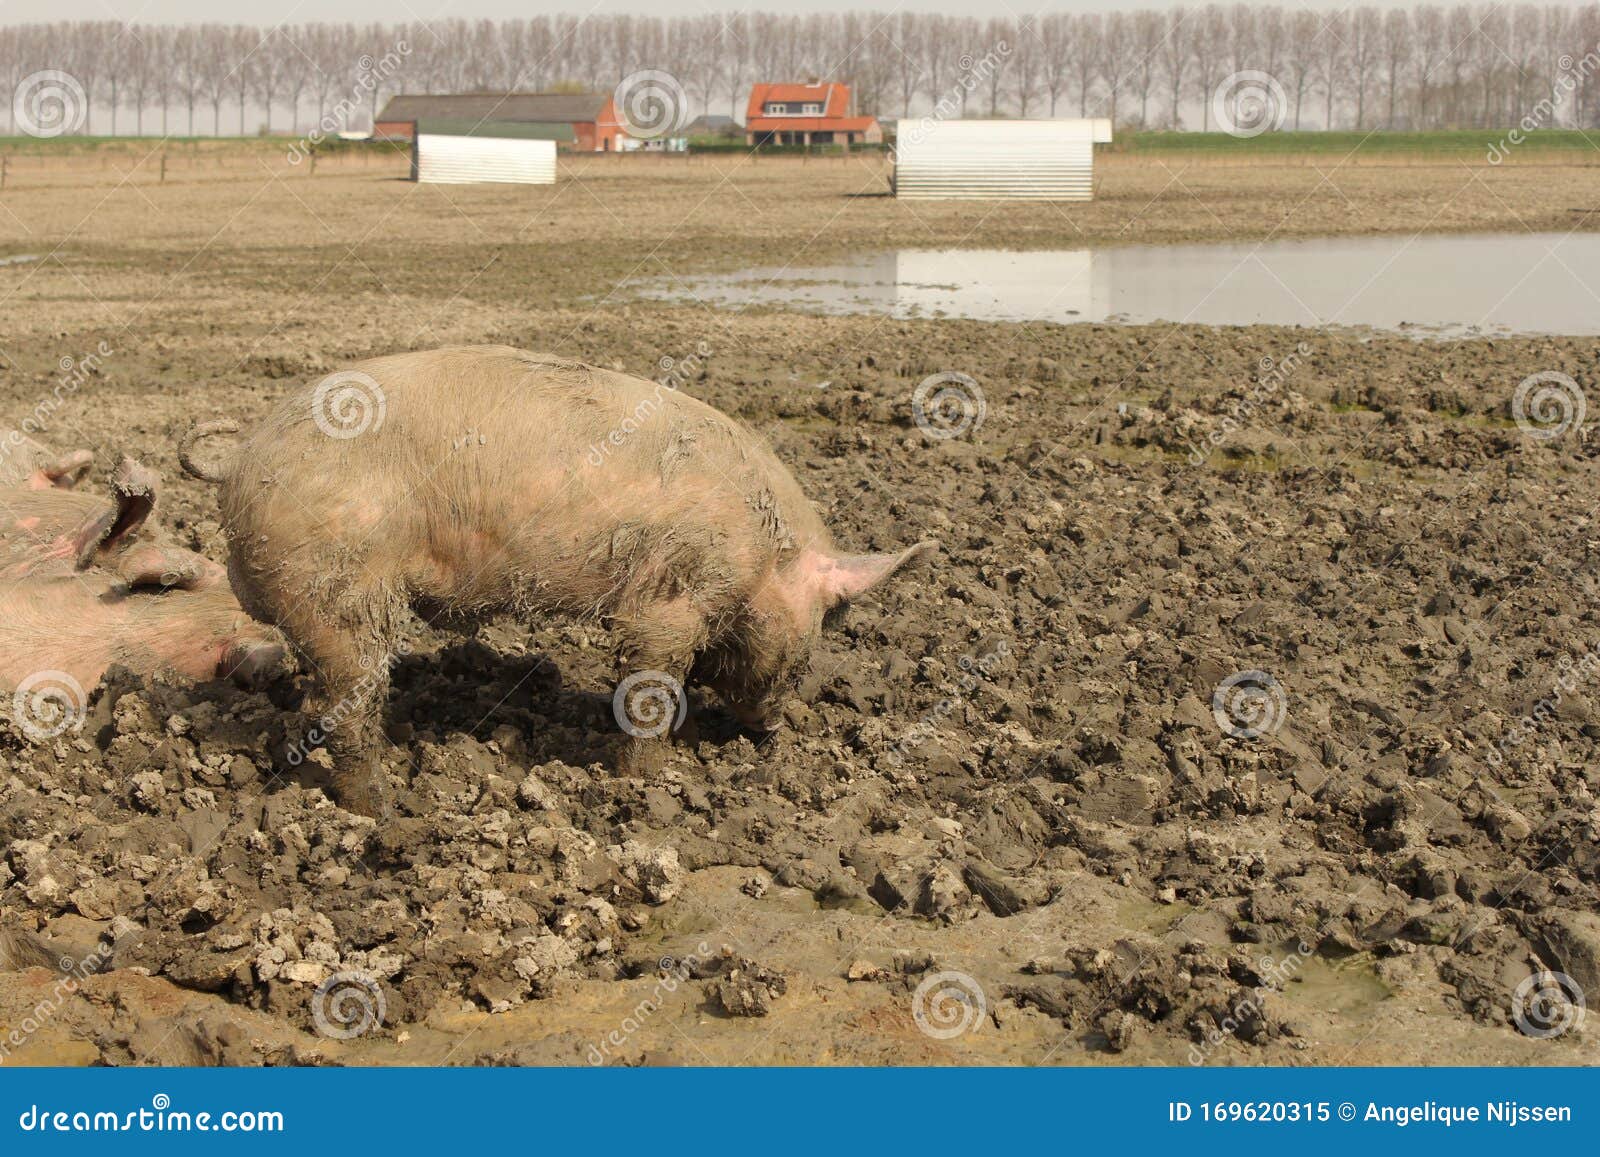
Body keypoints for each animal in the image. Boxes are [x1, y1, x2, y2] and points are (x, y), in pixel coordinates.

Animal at [210, 346, 936, 818]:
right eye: (818, 635)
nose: (774, 729)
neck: (767, 552)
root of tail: (241, 461)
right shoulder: (674, 590)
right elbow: (651, 684)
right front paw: (644, 785)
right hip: (336, 587)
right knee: (344, 702)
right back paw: (382, 810)